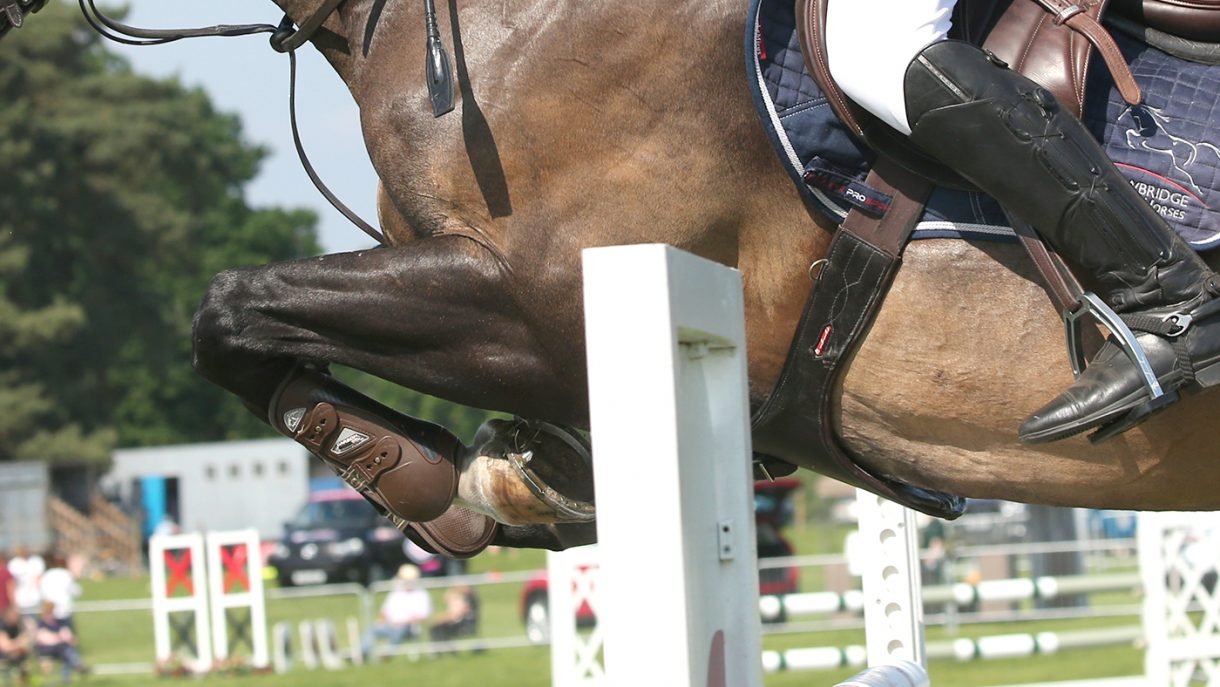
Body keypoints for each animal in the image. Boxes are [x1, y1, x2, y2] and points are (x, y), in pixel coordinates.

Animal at [166, 0, 1220, 550]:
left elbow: (231, 309)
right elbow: (236, 316)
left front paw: (424, 480)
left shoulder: (536, 306)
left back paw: (1168, 336)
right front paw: (501, 477)